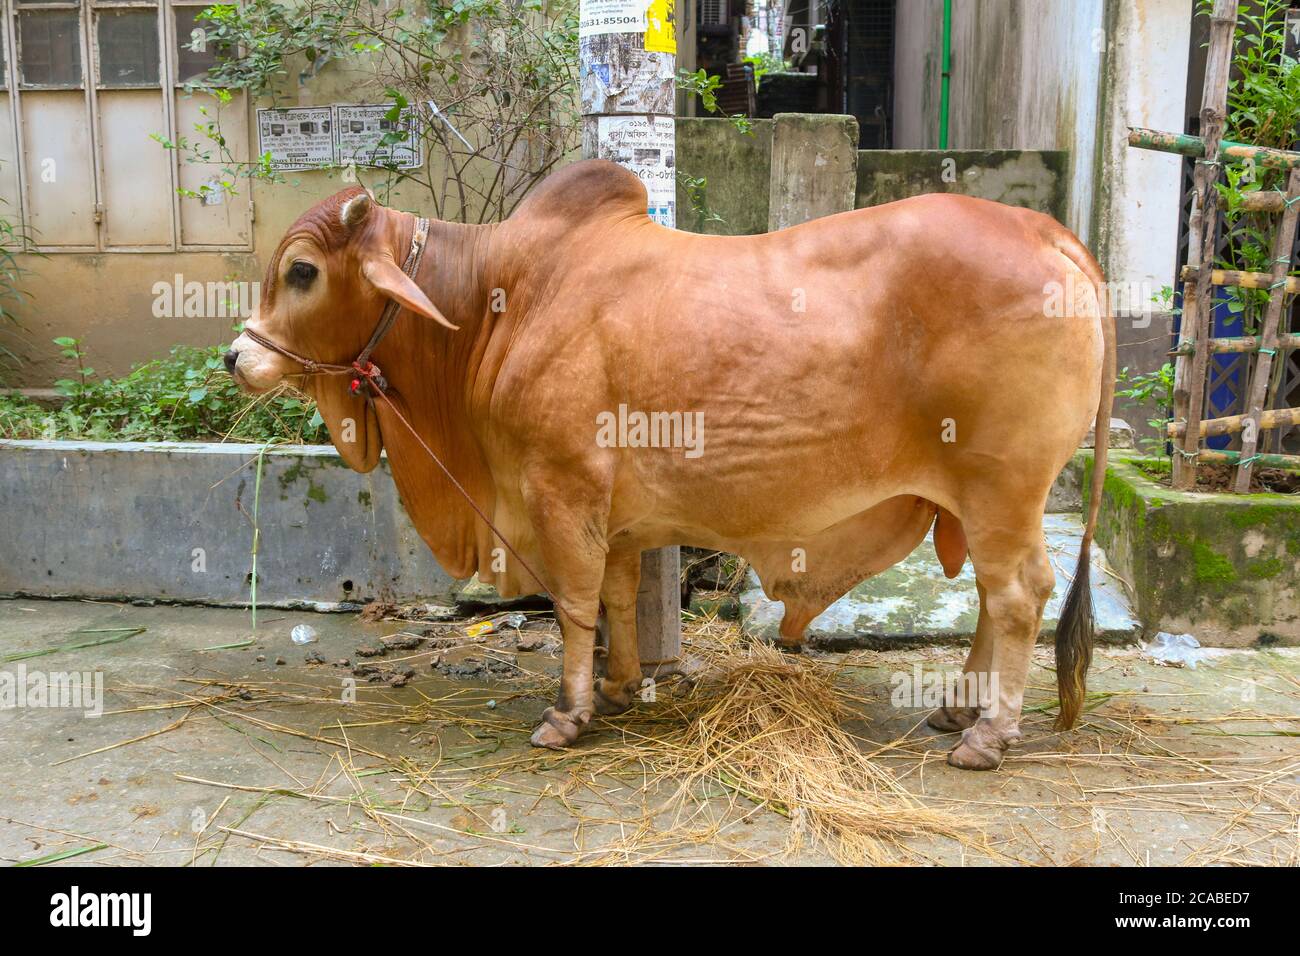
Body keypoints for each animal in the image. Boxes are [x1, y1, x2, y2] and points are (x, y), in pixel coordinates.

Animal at [226, 159, 1114, 771]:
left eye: (301, 270)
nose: (237, 357)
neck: (493, 301)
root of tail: (1046, 230)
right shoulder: (611, 514)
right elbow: (616, 594)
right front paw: (621, 686)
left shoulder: (560, 489)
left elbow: (574, 602)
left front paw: (568, 712)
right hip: (976, 501)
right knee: (993, 602)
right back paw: (960, 710)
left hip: (1003, 489)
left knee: (1017, 595)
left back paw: (989, 734)